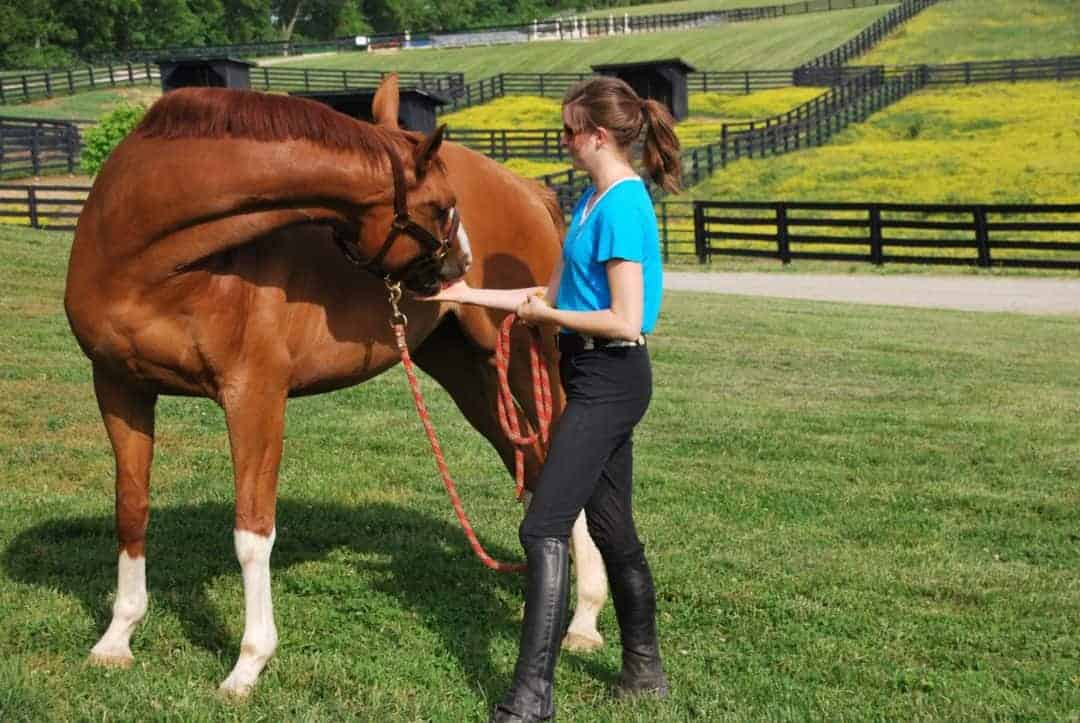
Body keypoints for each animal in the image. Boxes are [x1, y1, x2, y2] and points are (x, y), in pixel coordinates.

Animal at [63, 76, 608, 697]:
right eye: (441, 206)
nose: (461, 265)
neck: (145, 255)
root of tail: (530, 191)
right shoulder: (118, 388)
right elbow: (131, 509)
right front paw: (116, 639)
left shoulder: (253, 396)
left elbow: (252, 533)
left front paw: (247, 664)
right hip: (467, 370)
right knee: (537, 469)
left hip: (523, 357)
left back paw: (585, 620)